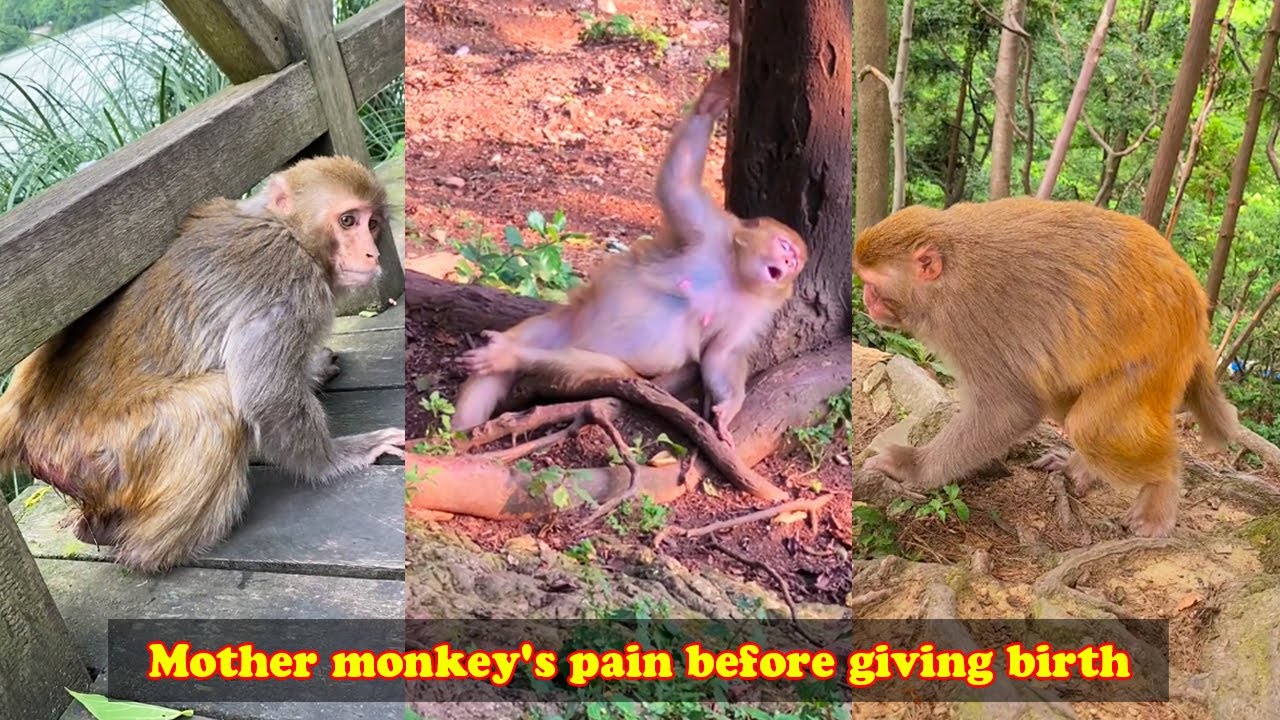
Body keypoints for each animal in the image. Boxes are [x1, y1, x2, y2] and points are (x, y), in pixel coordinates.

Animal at [0, 156, 406, 573]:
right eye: (348, 221)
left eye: (373, 223)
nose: (373, 254)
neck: (288, 232)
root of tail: (21, 424)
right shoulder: (288, 281)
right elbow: (267, 399)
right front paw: (339, 457)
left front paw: (315, 369)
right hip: (101, 453)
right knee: (218, 400)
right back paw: (152, 550)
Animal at [452, 71, 808, 444]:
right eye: (785, 248)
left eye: (795, 262)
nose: (787, 266)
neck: (736, 274)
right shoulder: (712, 229)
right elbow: (677, 185)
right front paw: (710, 104)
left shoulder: (757, 309)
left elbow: (721, 354)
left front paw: (729, 408)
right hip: (560, 322)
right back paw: (467, 421)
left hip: (601, 358)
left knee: (585, 366)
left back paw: (504, 368)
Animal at [854, 197, 1240, 538]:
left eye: (873, 284)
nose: (866, 301)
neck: (949, 269)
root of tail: (1196, 298)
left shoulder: (970, 321)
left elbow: (1009, 408)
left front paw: (912, 467)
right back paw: (1082, 468)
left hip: (1157, 356)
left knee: (1093, 427)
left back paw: (1163, 487)